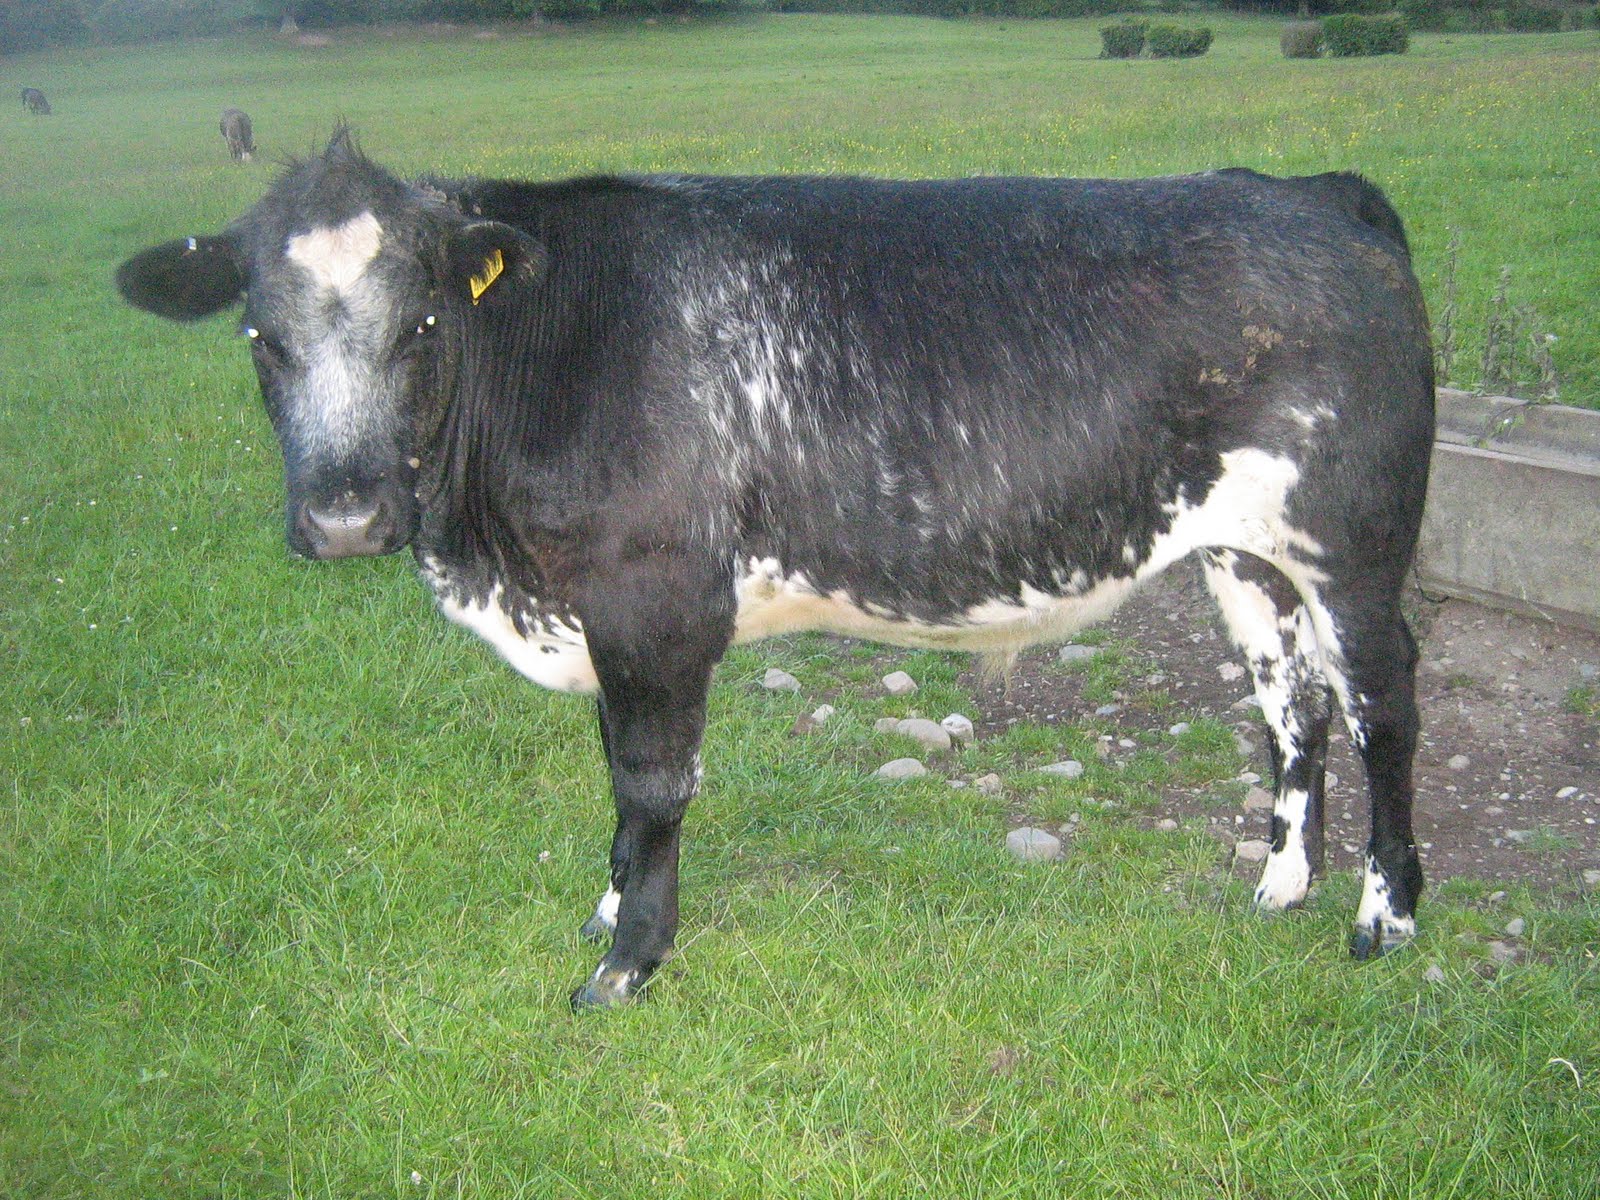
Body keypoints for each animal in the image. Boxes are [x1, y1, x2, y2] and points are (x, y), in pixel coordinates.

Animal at [116, 130, 1435, 1010]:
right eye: (259, 334)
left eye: (426, 324)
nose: (345, 517)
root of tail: (1306, 192)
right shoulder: (603, 615)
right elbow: (612, 772)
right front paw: (608, 907)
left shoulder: (653, 602)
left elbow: (650, 782)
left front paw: (628, 960)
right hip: (1245, 555)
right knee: (1289, 702)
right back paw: (1282, 883)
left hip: (1354, 544)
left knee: (1382, 706)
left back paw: (1385, 915)